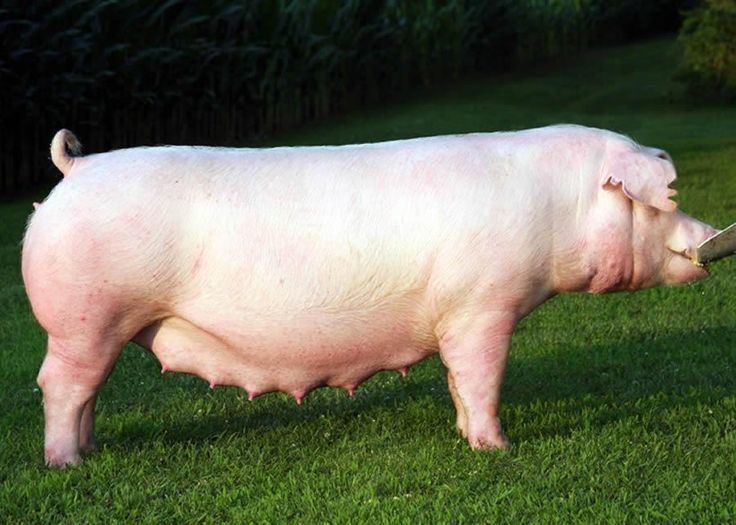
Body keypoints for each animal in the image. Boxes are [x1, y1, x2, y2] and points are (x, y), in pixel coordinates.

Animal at [22, 124, 718, 467]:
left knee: (87, 393)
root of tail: (75, 169)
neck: (558, 207)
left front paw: (465, 433)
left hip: (99, 325)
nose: (713, 237)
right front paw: (498, 450)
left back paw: (90, 451)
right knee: (61, 386)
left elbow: (457, 380)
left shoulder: (454, 315)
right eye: (670, 199)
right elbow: (483, 375)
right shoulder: (484, 304)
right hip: (85, 317)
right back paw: (67, 465)